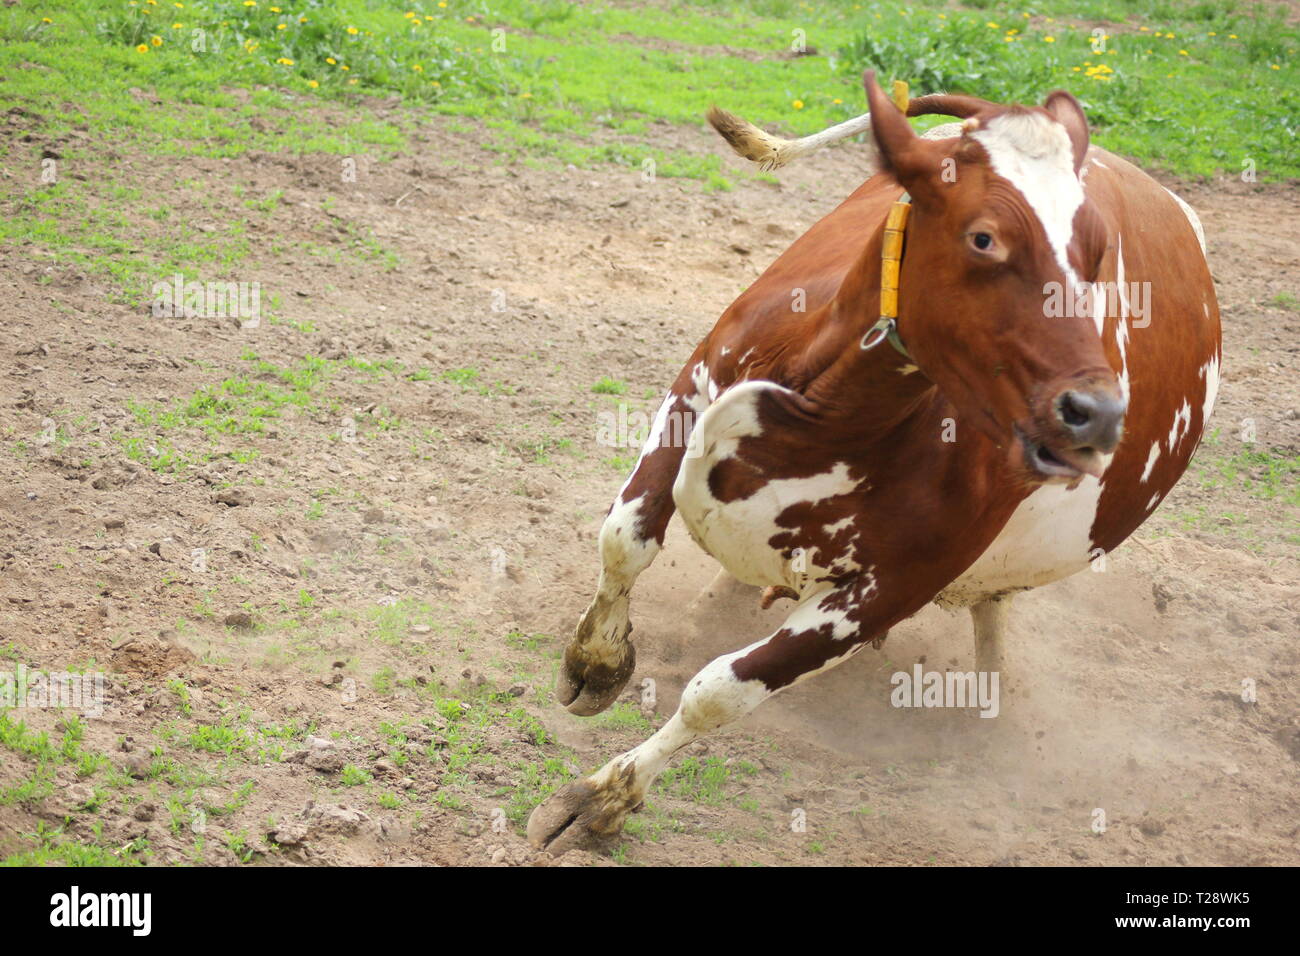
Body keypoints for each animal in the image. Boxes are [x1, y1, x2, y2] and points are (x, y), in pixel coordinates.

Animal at [526, 71, 1221, 855]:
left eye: (1100, 252)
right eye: (984, 237)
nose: (1097, 414)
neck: (836, 410)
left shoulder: (895, 586)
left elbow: (723, 690)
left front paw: (602, 797)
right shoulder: (695, 390)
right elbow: (626, 537)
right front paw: (596, 663)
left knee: (991, 609)